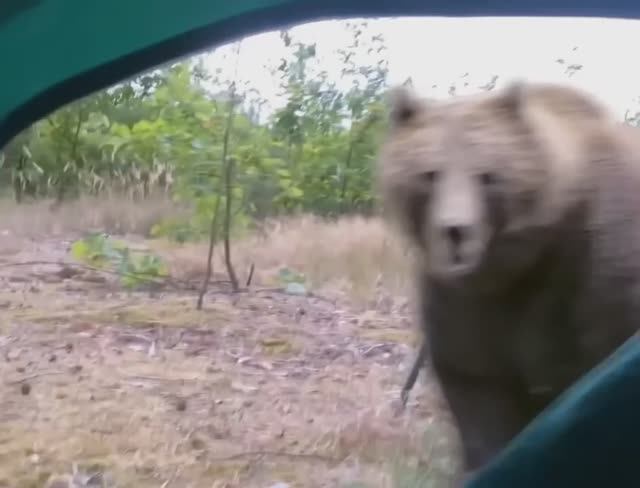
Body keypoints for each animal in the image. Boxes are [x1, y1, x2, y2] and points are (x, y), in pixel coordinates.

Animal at [376, 80, 640, 476]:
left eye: (487, 176)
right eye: (429, 174)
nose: (456, 232)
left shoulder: (593, 276)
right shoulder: (464, 307)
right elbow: (478, 394)